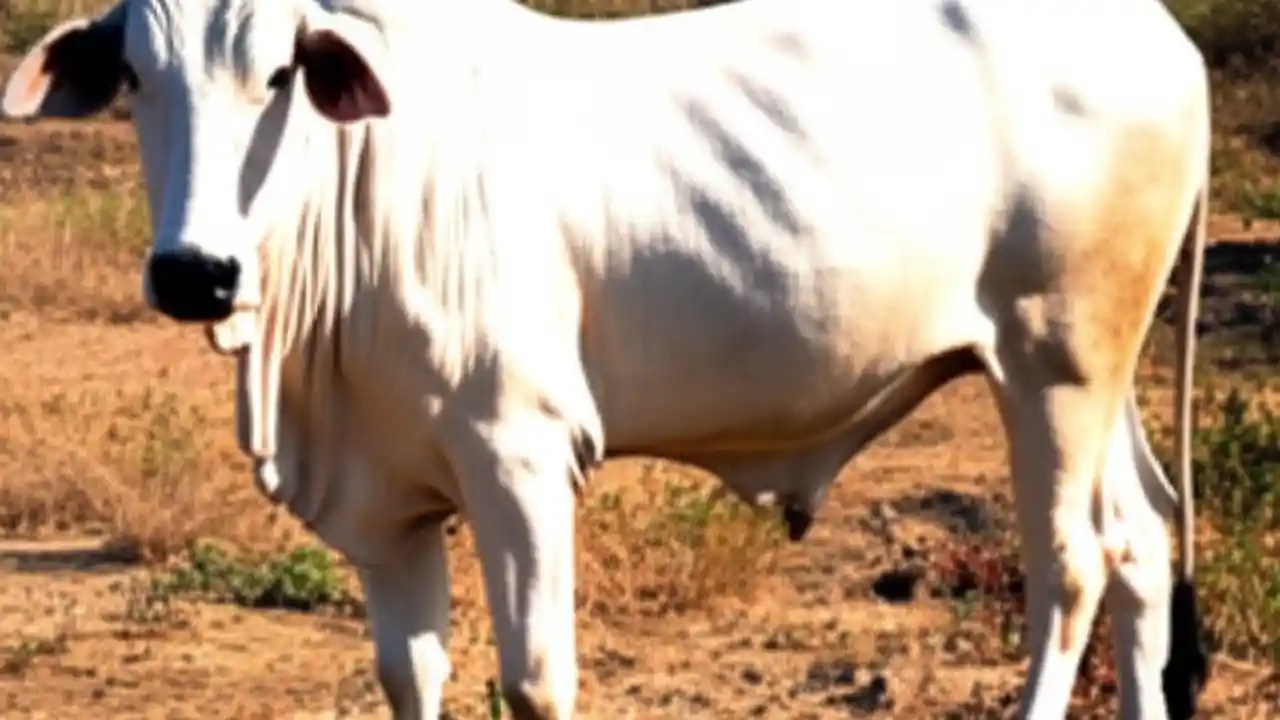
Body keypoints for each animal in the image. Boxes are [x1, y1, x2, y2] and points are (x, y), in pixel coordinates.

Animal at [2, 0, 1212, 717]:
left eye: (277, 76)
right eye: (136, 78)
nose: (193, 272)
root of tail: (1165, 37)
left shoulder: (520, 458)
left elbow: (536, 679)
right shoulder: (390, 498)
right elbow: (409, 672)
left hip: (1054, 366)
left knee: (1069, 567)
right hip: (1089, 374)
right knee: (1141, 541)